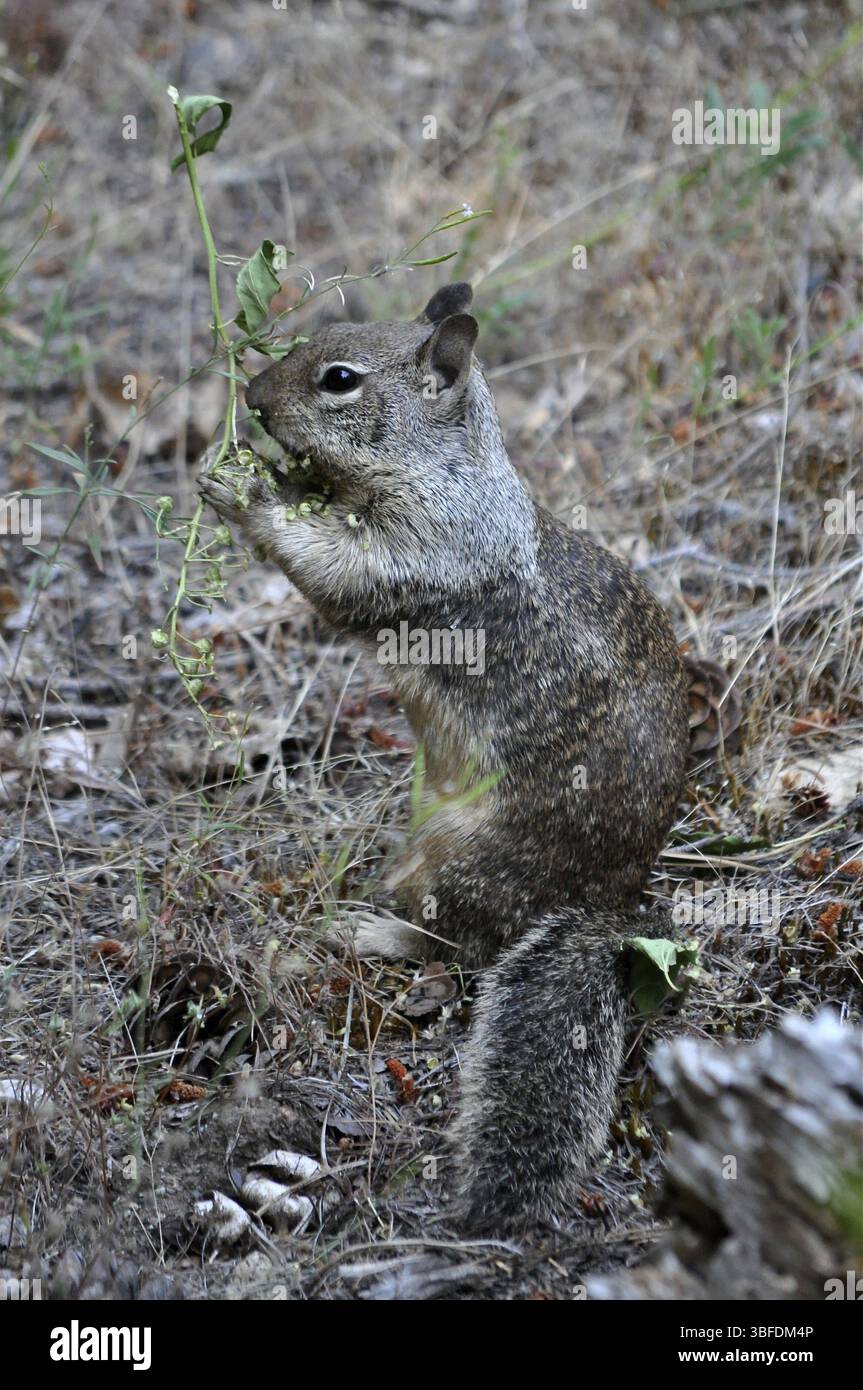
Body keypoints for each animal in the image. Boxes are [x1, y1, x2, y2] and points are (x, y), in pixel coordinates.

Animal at [198, 282, 690, 1231]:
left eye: (339, 379)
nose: (252, 398)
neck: (451, 471)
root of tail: (606, 904)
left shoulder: (421, 552)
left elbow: (336, 567)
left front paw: (245, 490)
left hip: (462, 858)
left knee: (459, 946)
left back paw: (369, 930)